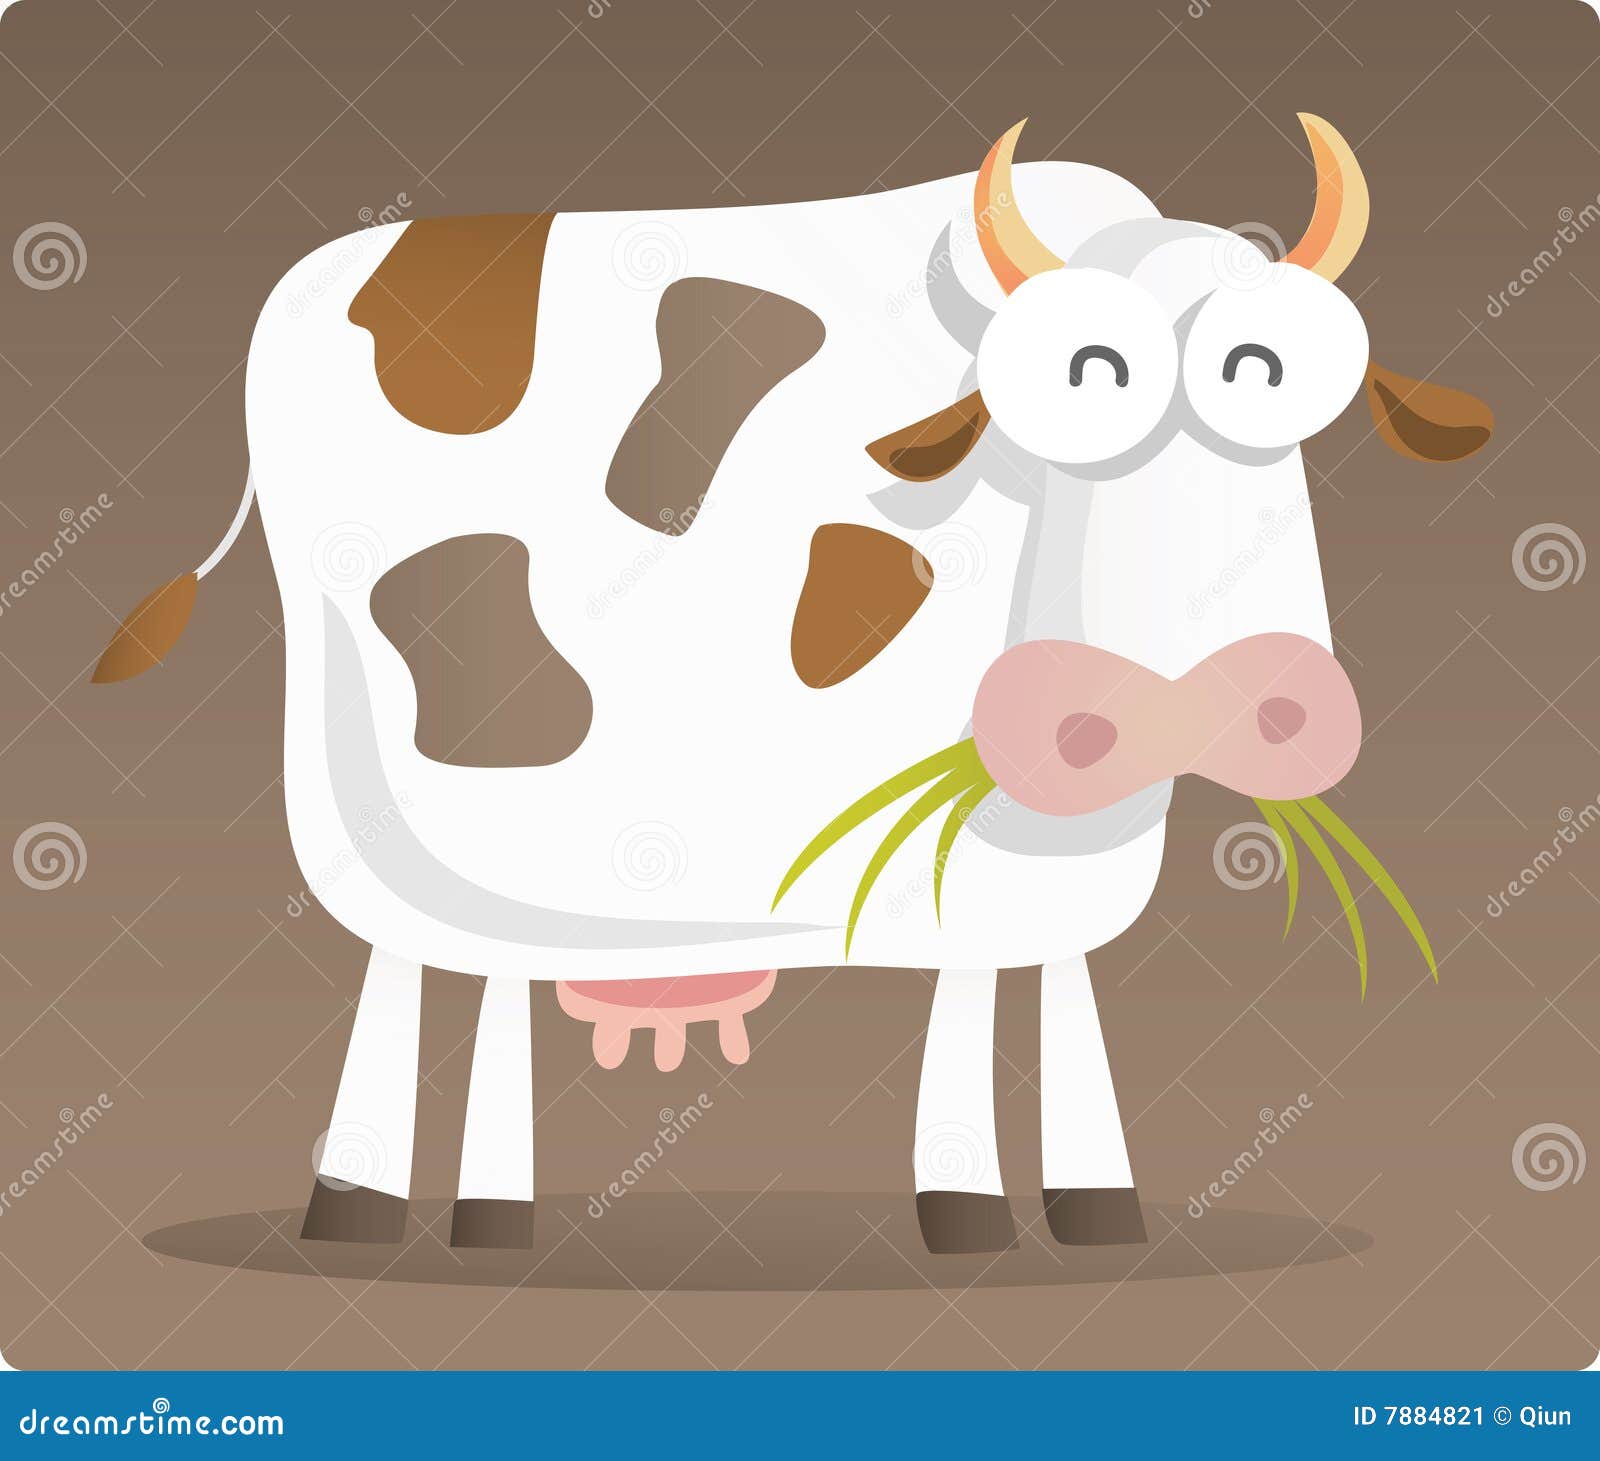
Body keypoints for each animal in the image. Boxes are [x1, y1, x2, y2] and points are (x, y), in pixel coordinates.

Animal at [95, 115, 1490, 1255]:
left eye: (1285, 391)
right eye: (1078, 385)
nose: (1186, 708)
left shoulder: (1049, 847)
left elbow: (1050, 974)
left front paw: (1091, 1201)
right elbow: (975, 977)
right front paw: (965, 1205)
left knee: (477, 945)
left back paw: (484, 1210)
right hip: (361, 746)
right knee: (404, 942)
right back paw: (370, 1203)